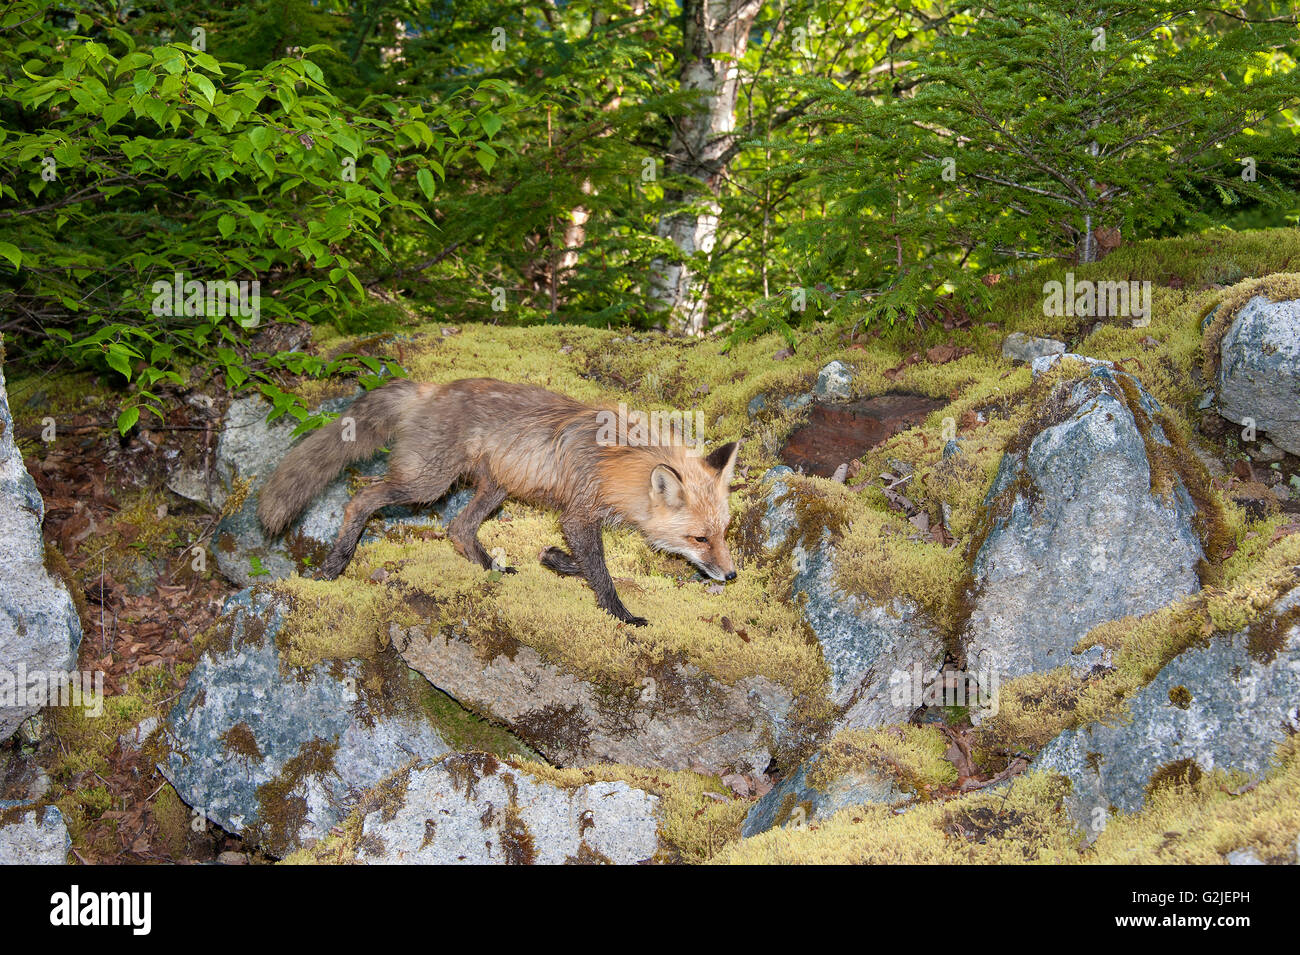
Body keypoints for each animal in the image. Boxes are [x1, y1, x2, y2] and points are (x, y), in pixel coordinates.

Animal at [256, 377, 741, 626]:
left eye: (723, 533)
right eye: (699, 538)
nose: (733, 575)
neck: (617, 458)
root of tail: (429, 389)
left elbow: (581, 563)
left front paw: (553, 559)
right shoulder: (579, 513)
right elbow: (600, 572)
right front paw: (621, 614)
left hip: (495, 488)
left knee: (458, 528)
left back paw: (491, 567)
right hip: (427, 483)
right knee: (361, 499)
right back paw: (335, 564)